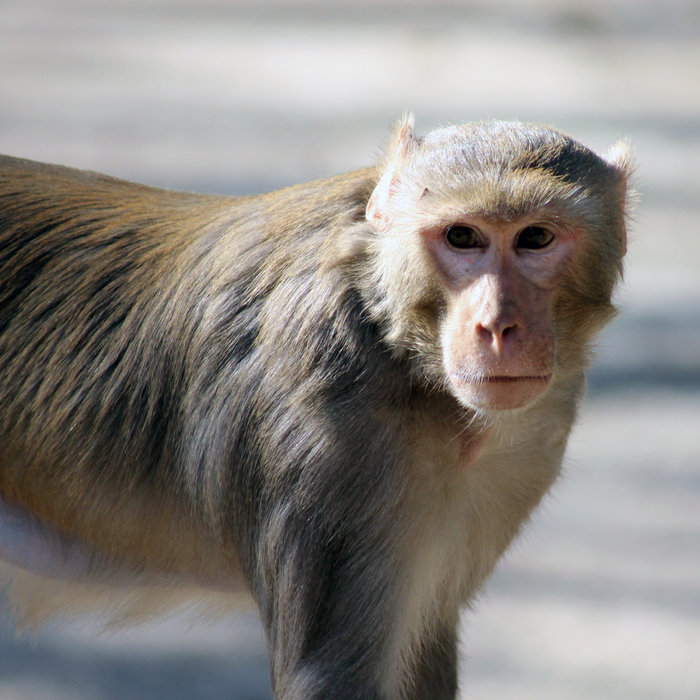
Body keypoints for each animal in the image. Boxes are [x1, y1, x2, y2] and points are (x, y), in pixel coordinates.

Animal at [0, 116, 632, 699]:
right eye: (462, 237)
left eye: (535, 239)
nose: (498, 325)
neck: (397, 343)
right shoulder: (329, 441)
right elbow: (331, 677)